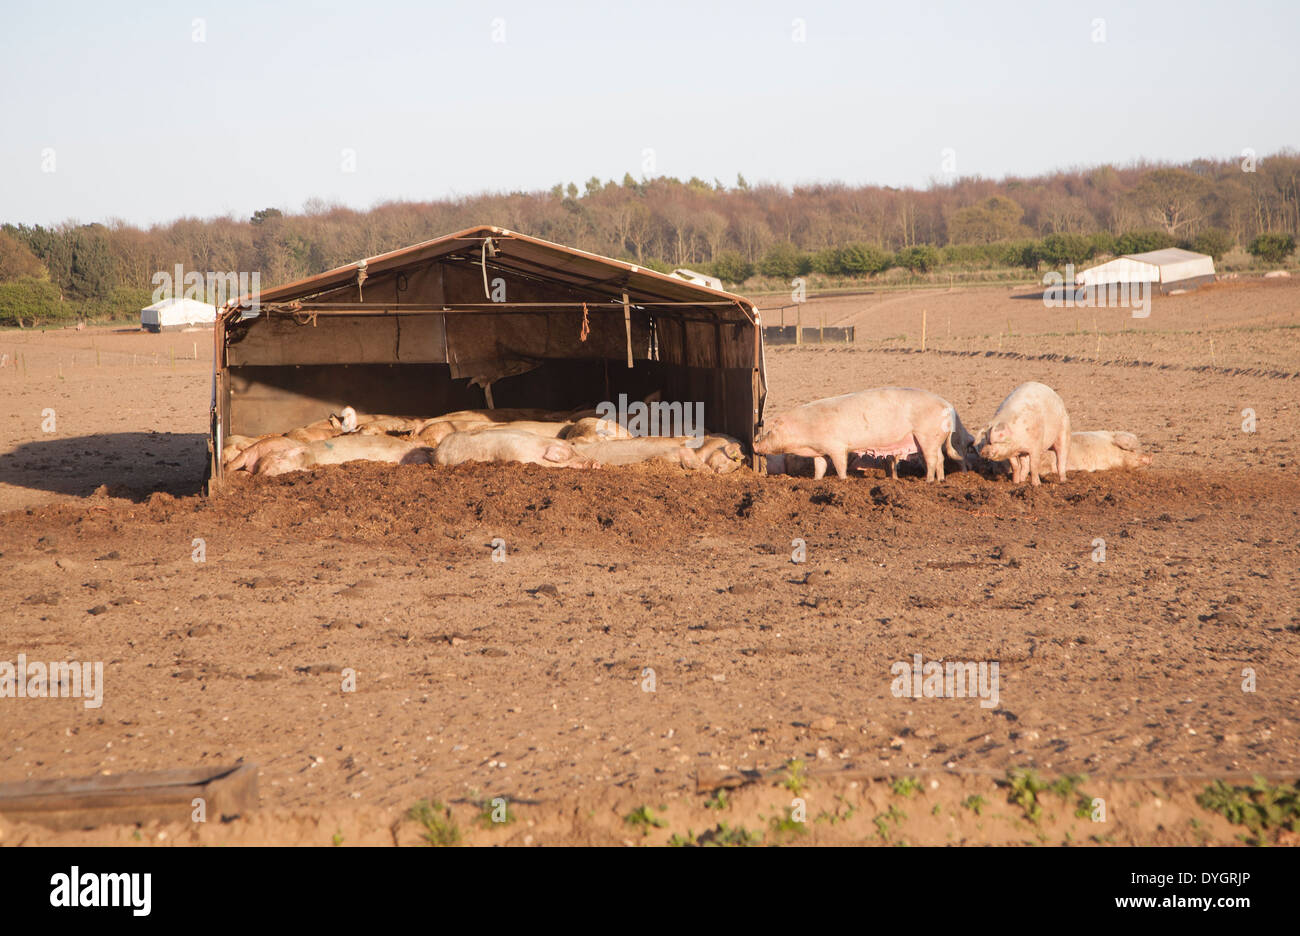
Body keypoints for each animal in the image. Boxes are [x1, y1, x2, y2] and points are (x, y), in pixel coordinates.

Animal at [753, 387, 973, 481]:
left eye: (769, 431)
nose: (754, 445)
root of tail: (947, 406)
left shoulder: (837, 446)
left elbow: (839, 465)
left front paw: (843, 480)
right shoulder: (820, 451)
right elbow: (819, 467)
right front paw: (816, 481)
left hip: (926, 435)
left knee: (932, 459)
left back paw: (928, 481)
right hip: (931, 439)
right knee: (941, 459)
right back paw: (940, 481)